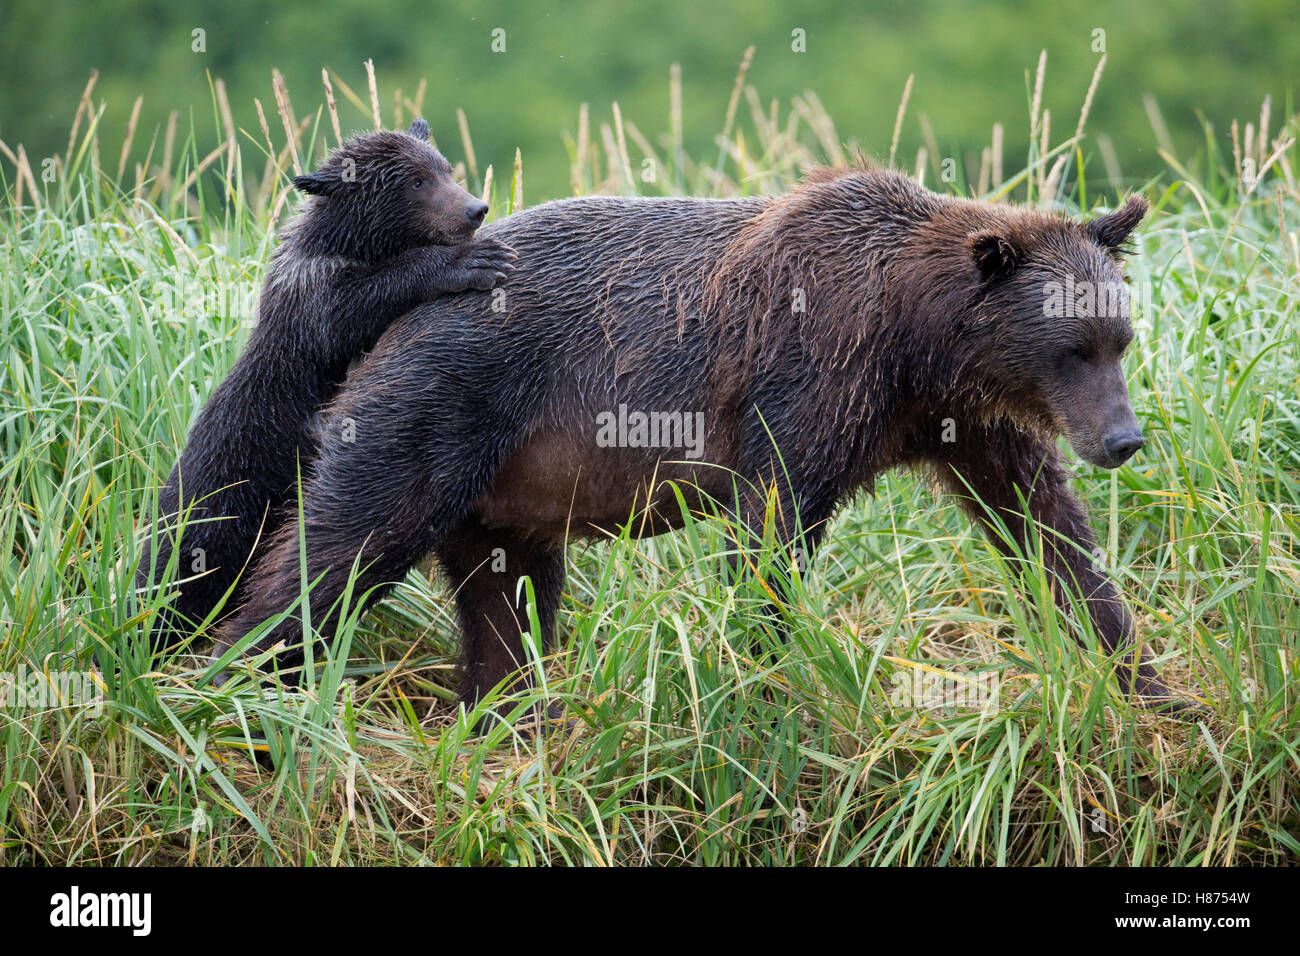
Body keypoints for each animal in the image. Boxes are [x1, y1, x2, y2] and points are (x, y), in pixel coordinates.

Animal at [134, 119, 516, 651]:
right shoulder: (312, 303)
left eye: (445, 168)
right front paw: (472, 261)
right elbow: (351, 307)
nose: (474, 209)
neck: (354, 244)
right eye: (415, 182)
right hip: (216, 511)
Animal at [210, 160, 1186, 715]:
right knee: (343, 544)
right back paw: (233, 677)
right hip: (445, 405)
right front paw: (764, 670)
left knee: (508, 605)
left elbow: (1045, 528)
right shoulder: (808, 373)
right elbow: (774, 521)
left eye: (1120, 337)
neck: (918, 341)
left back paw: (506, 712)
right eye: (1071, 348)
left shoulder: (958, 420)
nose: (1122, 439)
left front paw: (1148, 683)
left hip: (504, 492)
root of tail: (396, 316)